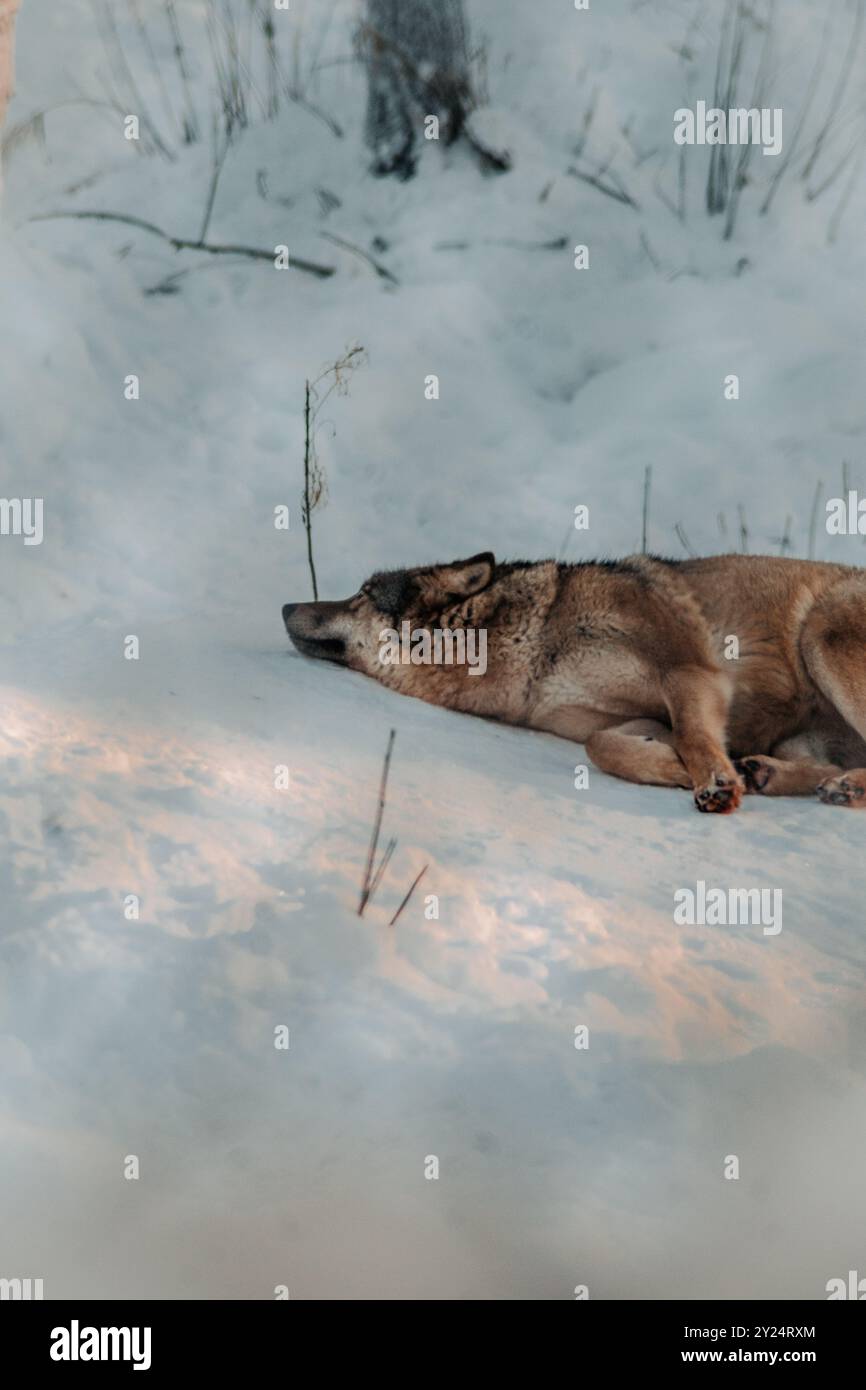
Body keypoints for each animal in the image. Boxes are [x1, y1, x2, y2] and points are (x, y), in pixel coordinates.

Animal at [282, 552, 866, 813]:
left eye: (359, 595)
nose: (286, 606)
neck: (536, 642)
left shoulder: (689, 670)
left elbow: (694, 736)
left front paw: (714, 781)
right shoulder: (624, 716)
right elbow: (603, 745)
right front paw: (677, 770)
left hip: (822, 635)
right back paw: (772, 773)